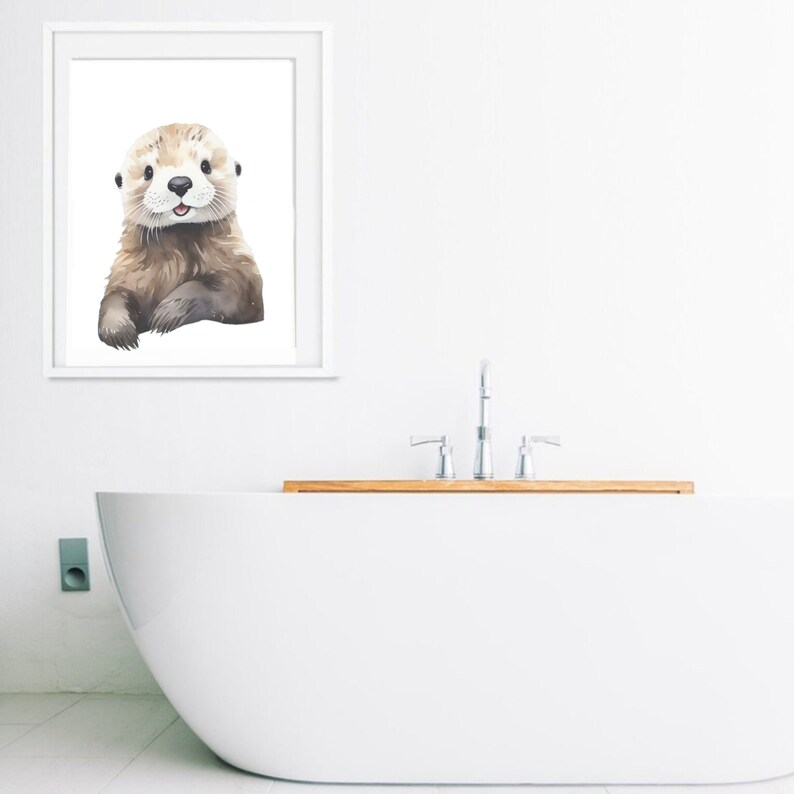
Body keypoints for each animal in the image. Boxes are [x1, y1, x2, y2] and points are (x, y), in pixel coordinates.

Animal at [98, 123, 263, 350]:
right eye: (148, 172)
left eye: (206, 166)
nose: (179, 183)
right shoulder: (128, 272)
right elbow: (114, 297)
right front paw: (118, 330)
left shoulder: (241, 273)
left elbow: (215, 289)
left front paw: (167, 312)